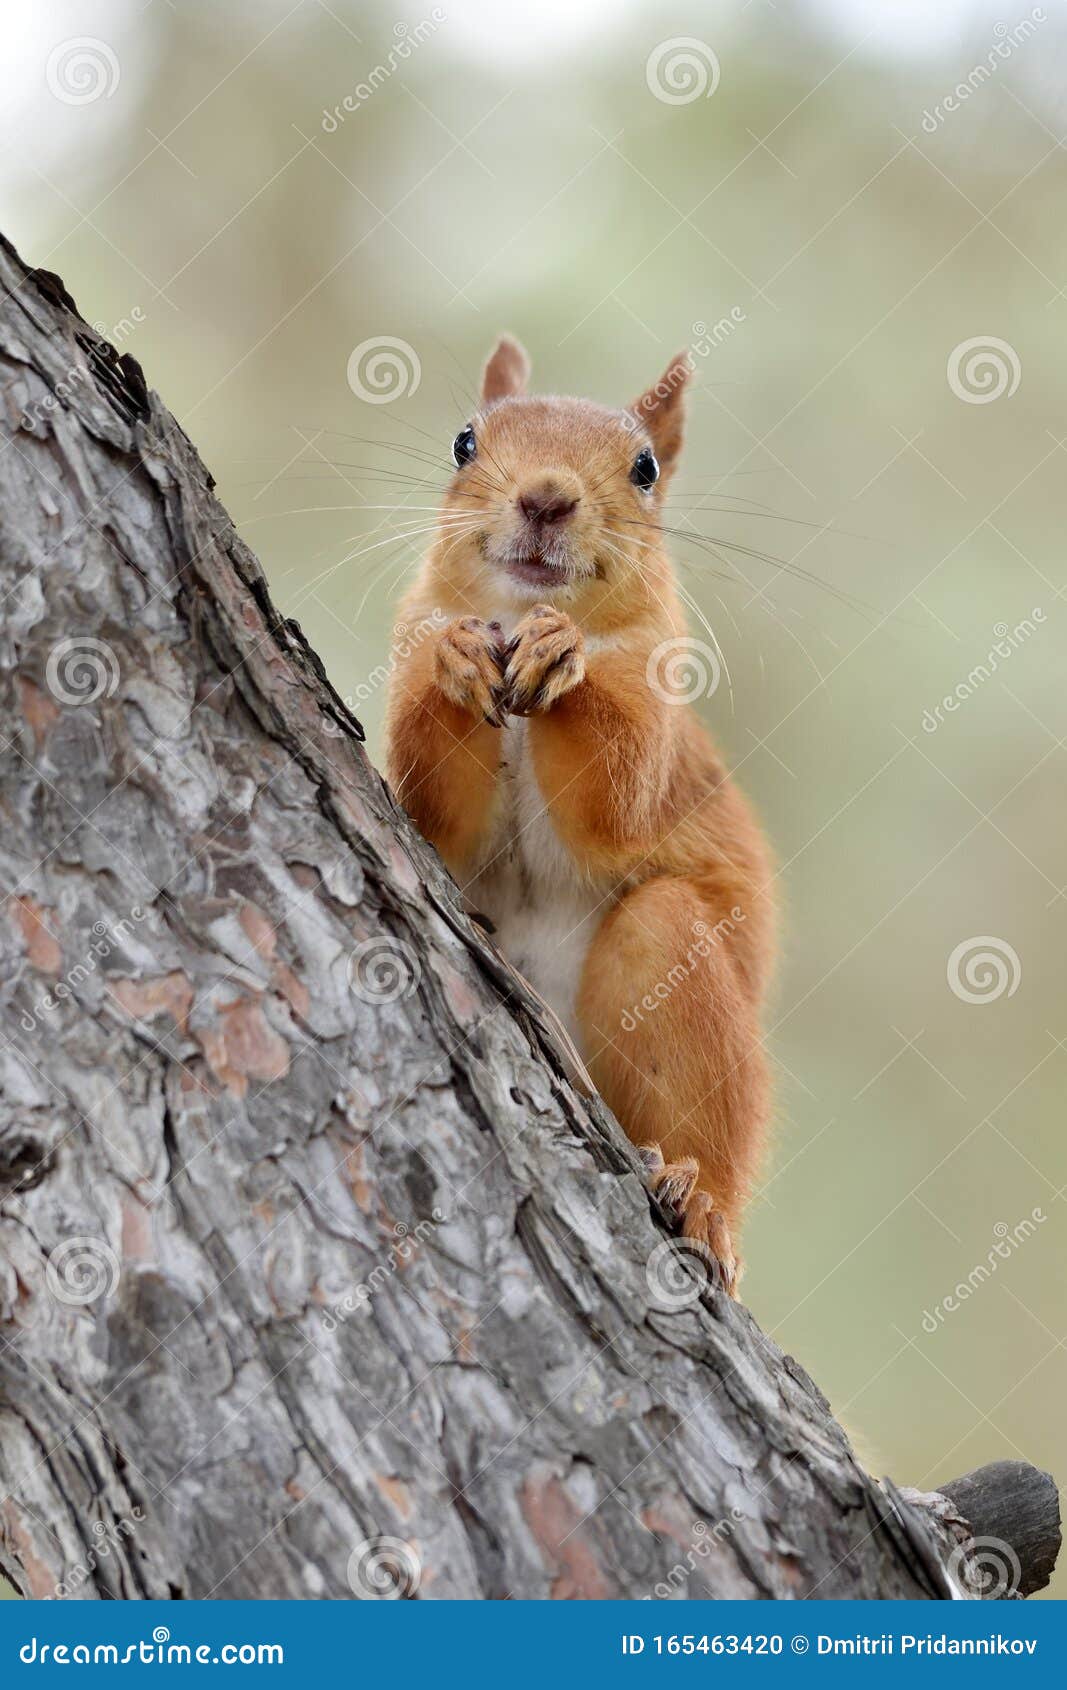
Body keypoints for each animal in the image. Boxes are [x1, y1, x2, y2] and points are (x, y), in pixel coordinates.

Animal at [384, 337, 775, 1294]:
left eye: (643, 469)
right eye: (463, 441)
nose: (546, 496)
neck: (519, 615)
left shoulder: (655, 716)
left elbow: (614, 787)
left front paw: (564, 656)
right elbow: (431, 799)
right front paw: (458, 657)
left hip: (671, 961)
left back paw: (702, 1200)